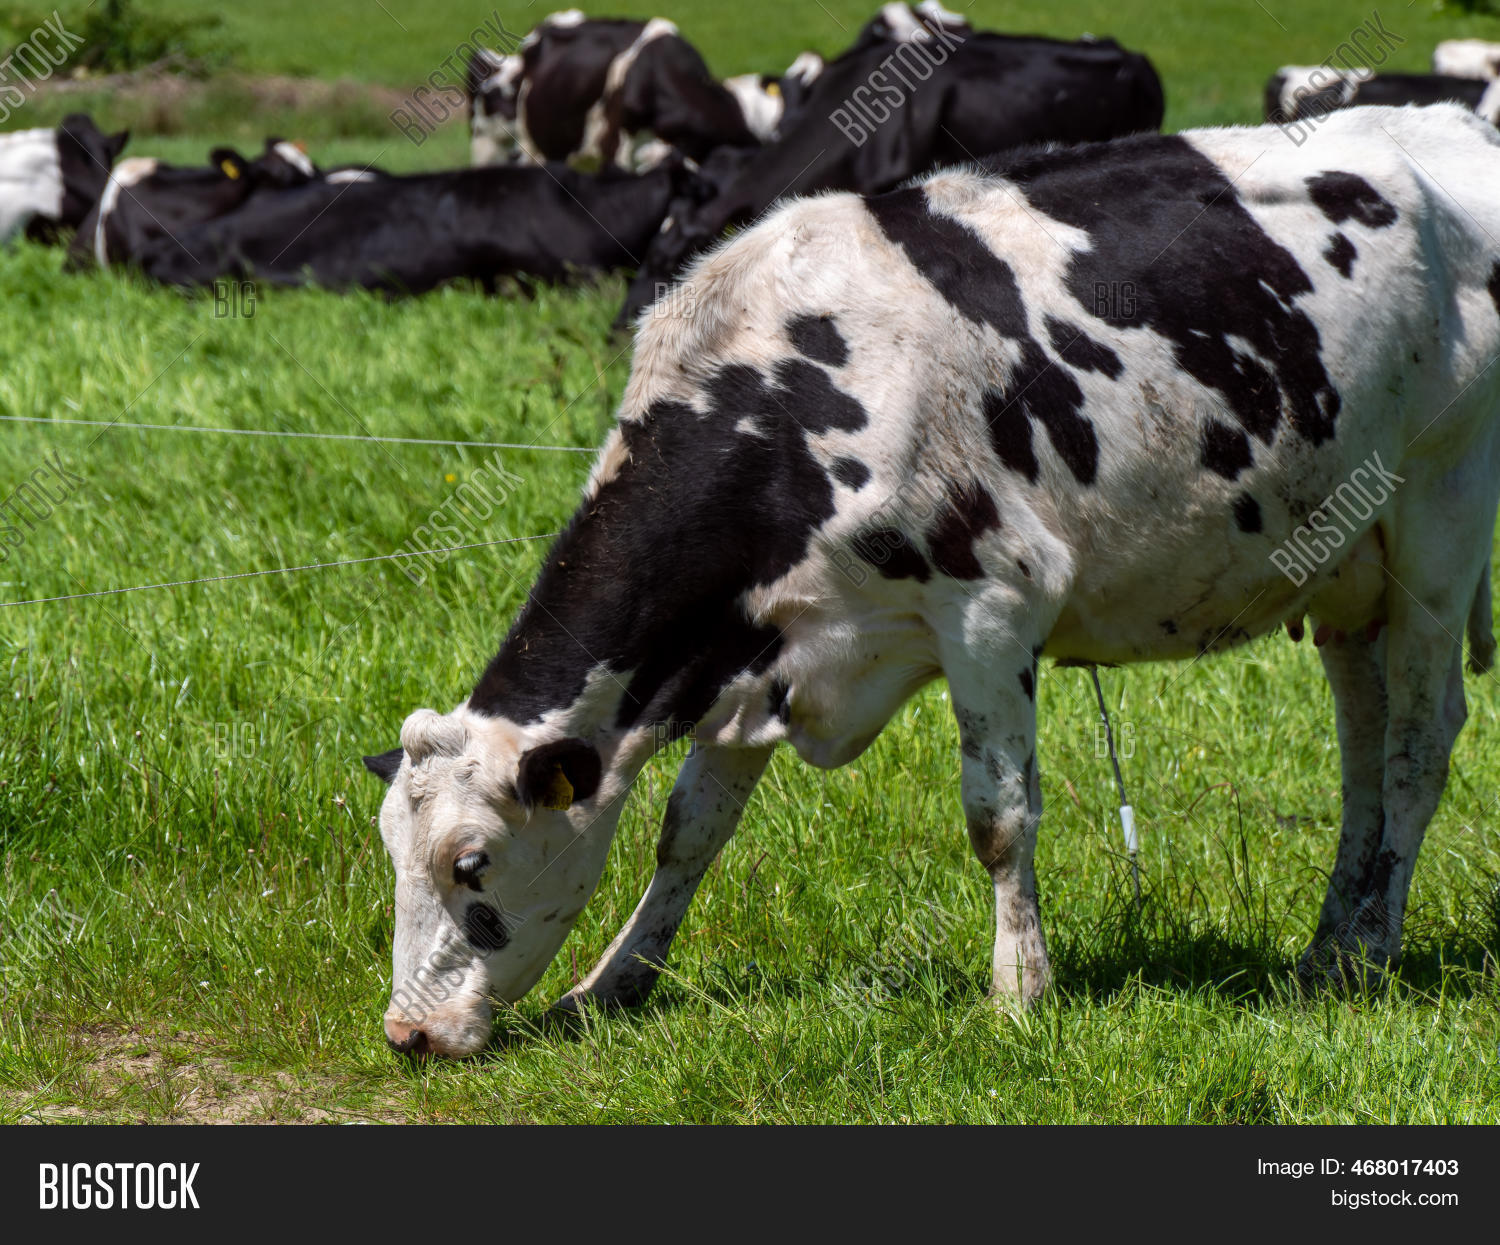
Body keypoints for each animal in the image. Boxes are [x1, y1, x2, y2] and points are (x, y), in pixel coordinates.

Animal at [362, 102, 1500, 1059]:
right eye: (390, 855)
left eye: (471, 862)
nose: (409, 1034)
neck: (791, 401)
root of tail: (1446, 119)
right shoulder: (755, 646)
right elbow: (688, 829)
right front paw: (612, 982)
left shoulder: (993, 603)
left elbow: (999, 815)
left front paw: (1020, 993)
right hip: (1347, 569)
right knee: (1363, 749)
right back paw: (1332, 948)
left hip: (1441, 523)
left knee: (1418, 741)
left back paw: (1376, 947)